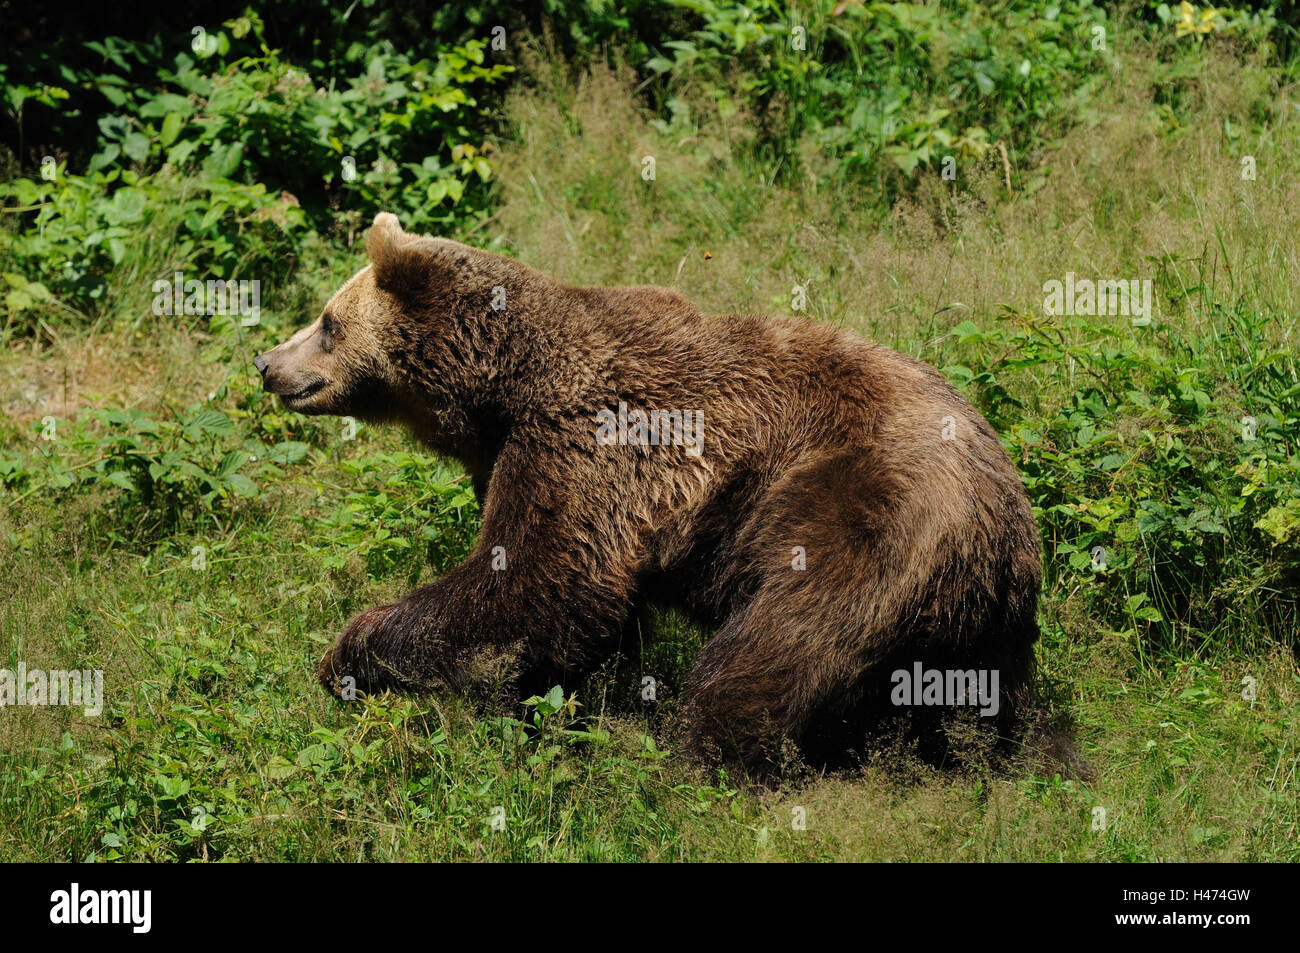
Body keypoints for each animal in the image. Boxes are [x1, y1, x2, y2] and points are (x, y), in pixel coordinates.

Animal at [254, 211, 1042, 771]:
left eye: (327, 322)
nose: (266, 361)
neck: (501, 390)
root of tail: (1004, 517)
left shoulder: (589, 442)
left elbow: (533, 587)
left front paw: (347, 654)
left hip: (860, 515)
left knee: (776, 649)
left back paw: (704, 758)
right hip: (987, 626)